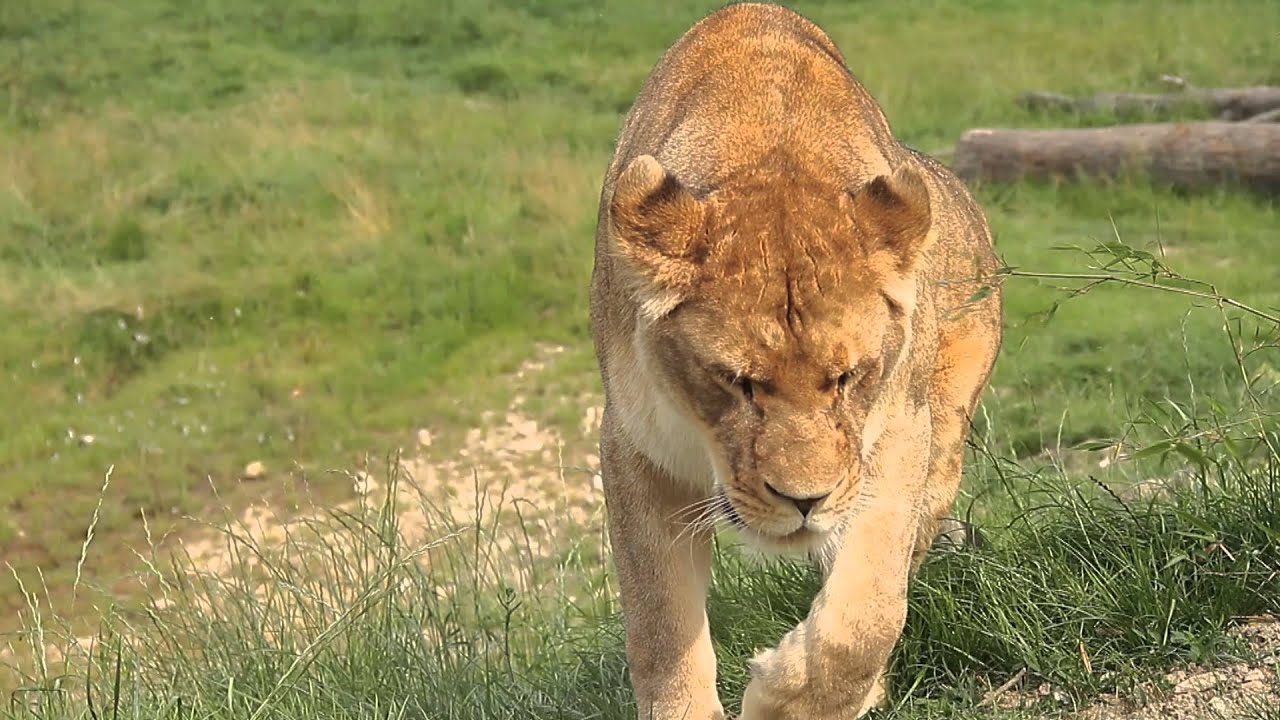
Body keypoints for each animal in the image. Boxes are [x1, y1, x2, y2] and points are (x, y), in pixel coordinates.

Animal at [588, 3, 1003, 719]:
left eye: (848, 378)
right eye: (735, 382)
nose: (804, 501)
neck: (768, 145)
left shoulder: (895, 437)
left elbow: (866, 616)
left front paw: (790, 699)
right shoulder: (638, 450)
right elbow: (660, 626)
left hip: (944, 439)